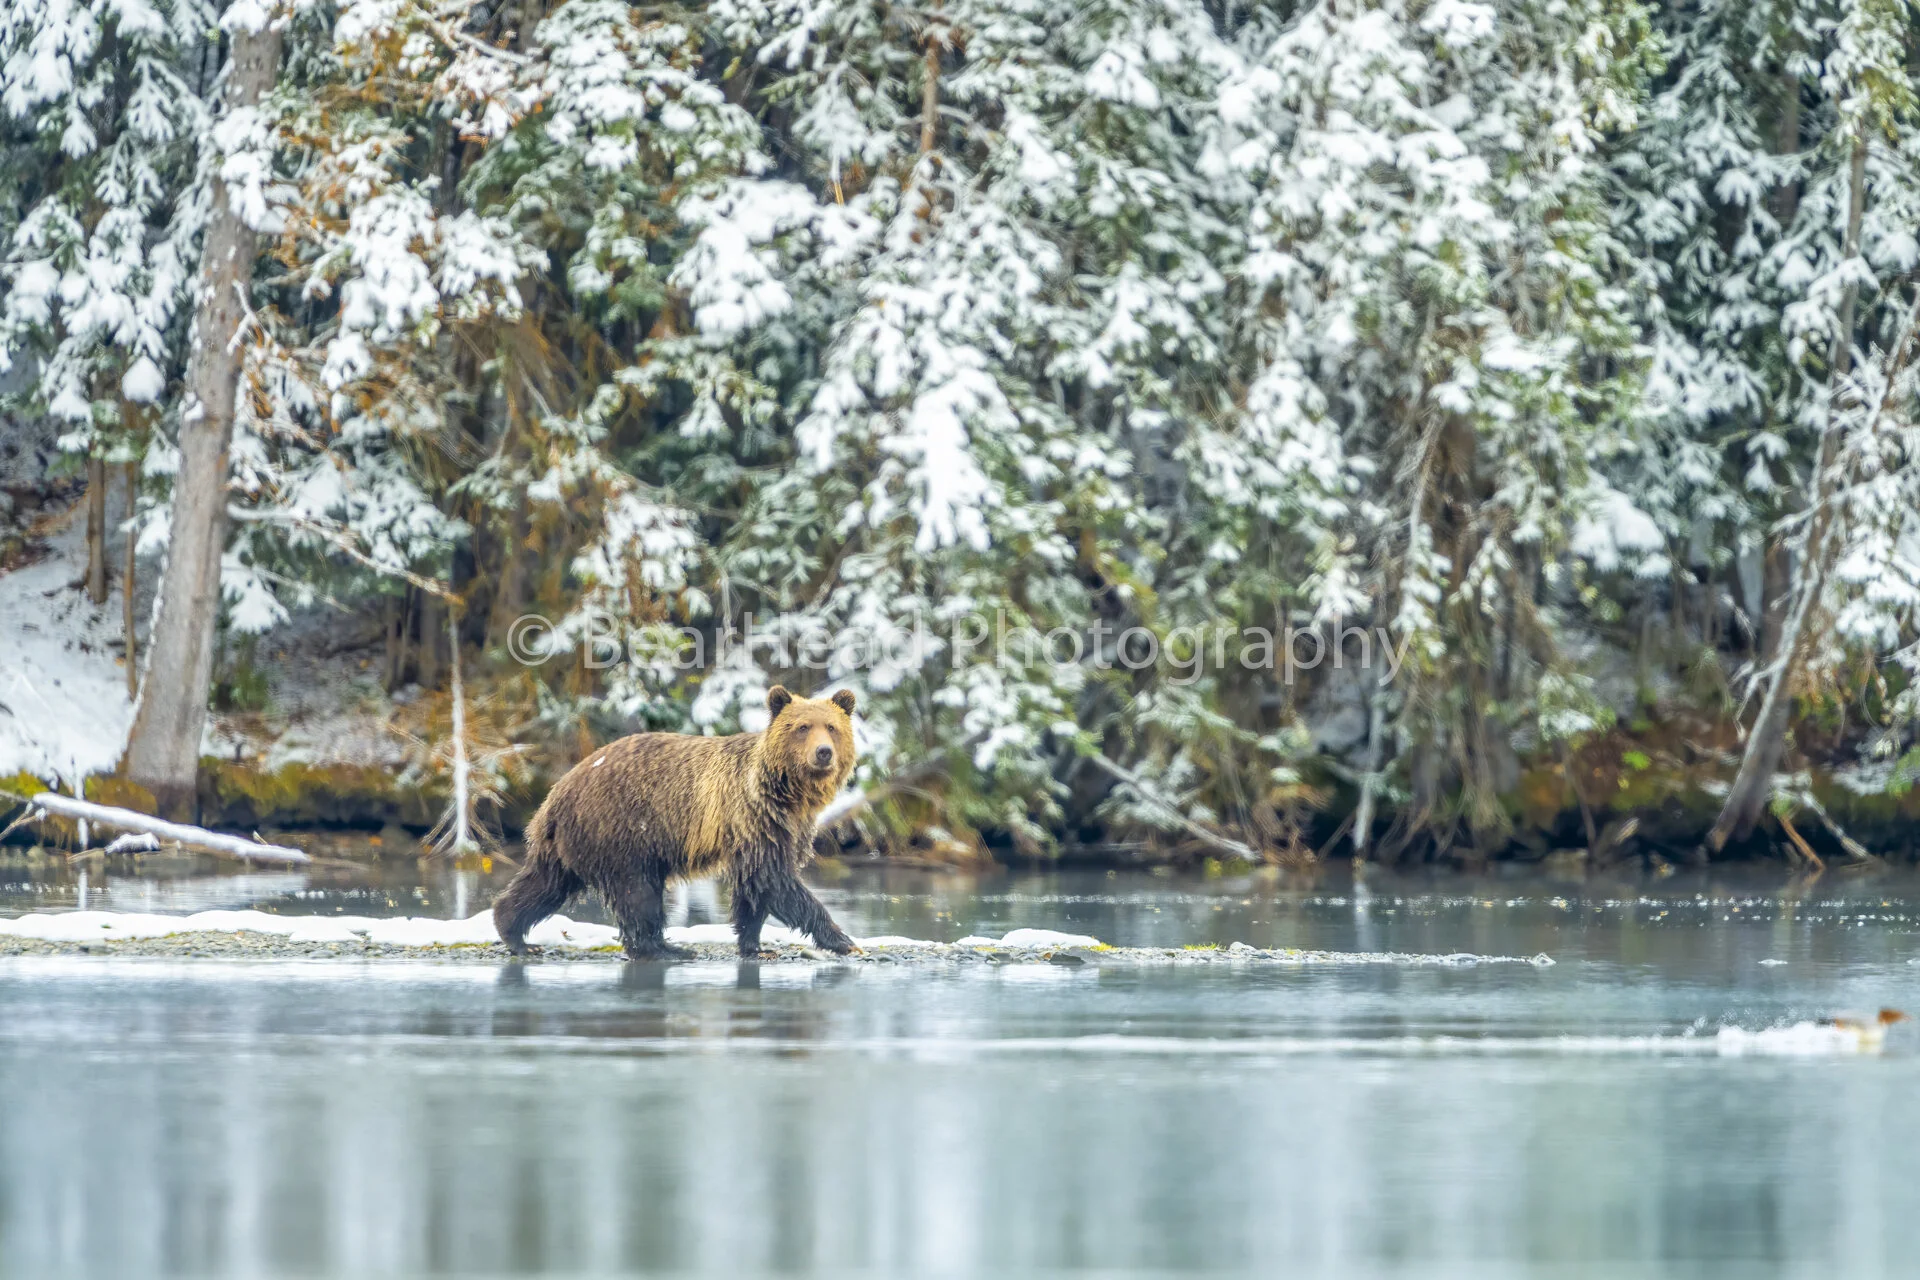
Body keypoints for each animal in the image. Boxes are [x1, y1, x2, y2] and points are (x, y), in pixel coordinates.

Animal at [491, 685, 862, 960]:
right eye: (802, 727)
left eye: (832, 727)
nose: (823, 752)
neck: (787, 793)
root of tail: (558, 791)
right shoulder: (752, 816)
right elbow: (774, 879)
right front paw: (842, 939)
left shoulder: (781, 829)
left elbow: (755, 885)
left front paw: (753, 943)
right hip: (623, 829)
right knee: (638, 893)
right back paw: (663, 948)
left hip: (571, 842)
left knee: (547, 882)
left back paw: (514, 932)